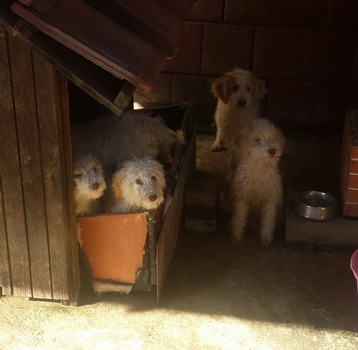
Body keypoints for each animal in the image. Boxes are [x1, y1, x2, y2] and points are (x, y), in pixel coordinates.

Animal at [231, 117, 286, 246]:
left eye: (274, 138)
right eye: (257, 140)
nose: (272, 150)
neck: (259, 170)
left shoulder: (270, 201)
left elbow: (268, 222)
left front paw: (265, 239)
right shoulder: (241, 198)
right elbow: (239, 219)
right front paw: (236, 236)